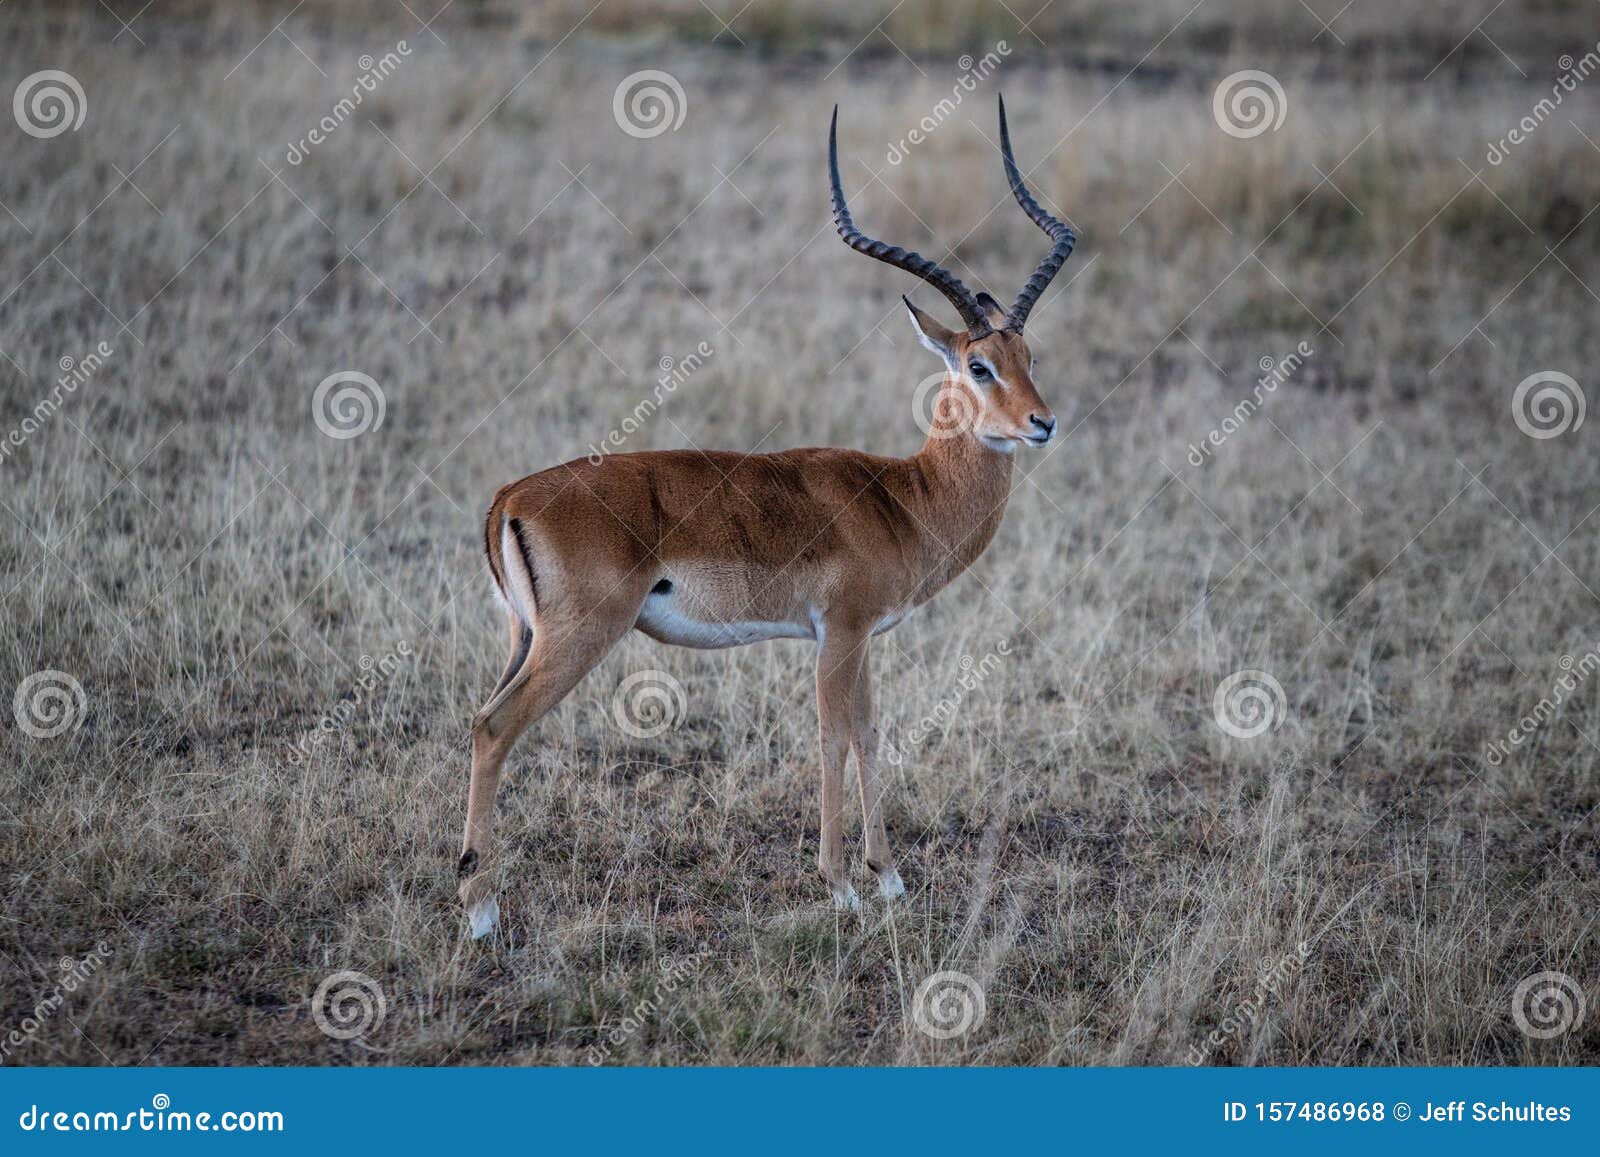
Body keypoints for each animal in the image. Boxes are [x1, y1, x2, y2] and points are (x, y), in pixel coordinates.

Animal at [457, 95, 1075, 937]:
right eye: (979, 365)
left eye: (1030, 357)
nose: (1042, 423)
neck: (902, 496)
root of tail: (510, 496)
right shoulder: (837, 633)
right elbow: (832, 736)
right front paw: (840, 884)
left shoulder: (863, 638)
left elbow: (870, 731)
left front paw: (889, 878)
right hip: (580, 635)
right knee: (494, 728)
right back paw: (482, 912)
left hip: (526, 637)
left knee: (478, 718)